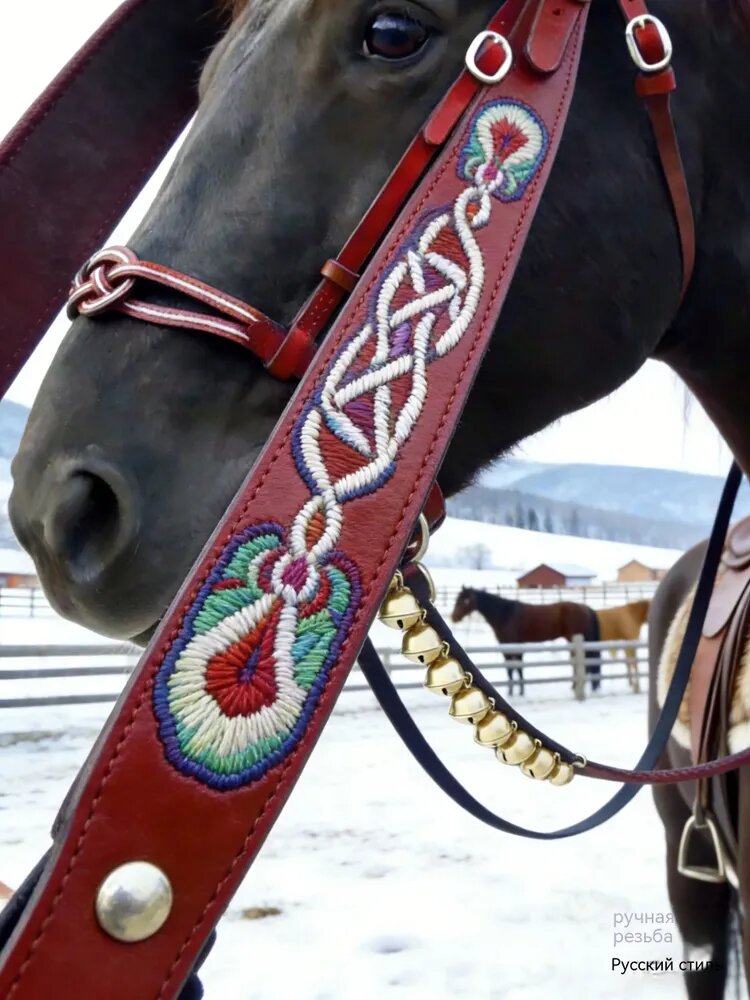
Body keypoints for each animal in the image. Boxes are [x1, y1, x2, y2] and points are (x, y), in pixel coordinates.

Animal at [451, 586, 598, 695]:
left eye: (464, 600)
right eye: (457, 599)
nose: (454, 617)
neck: (506, 615)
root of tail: (586, 608)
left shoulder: (514, 646)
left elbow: (516, 669)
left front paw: (518, 692)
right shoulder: (507, 647)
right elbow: (511, 669)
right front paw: (514, 691)